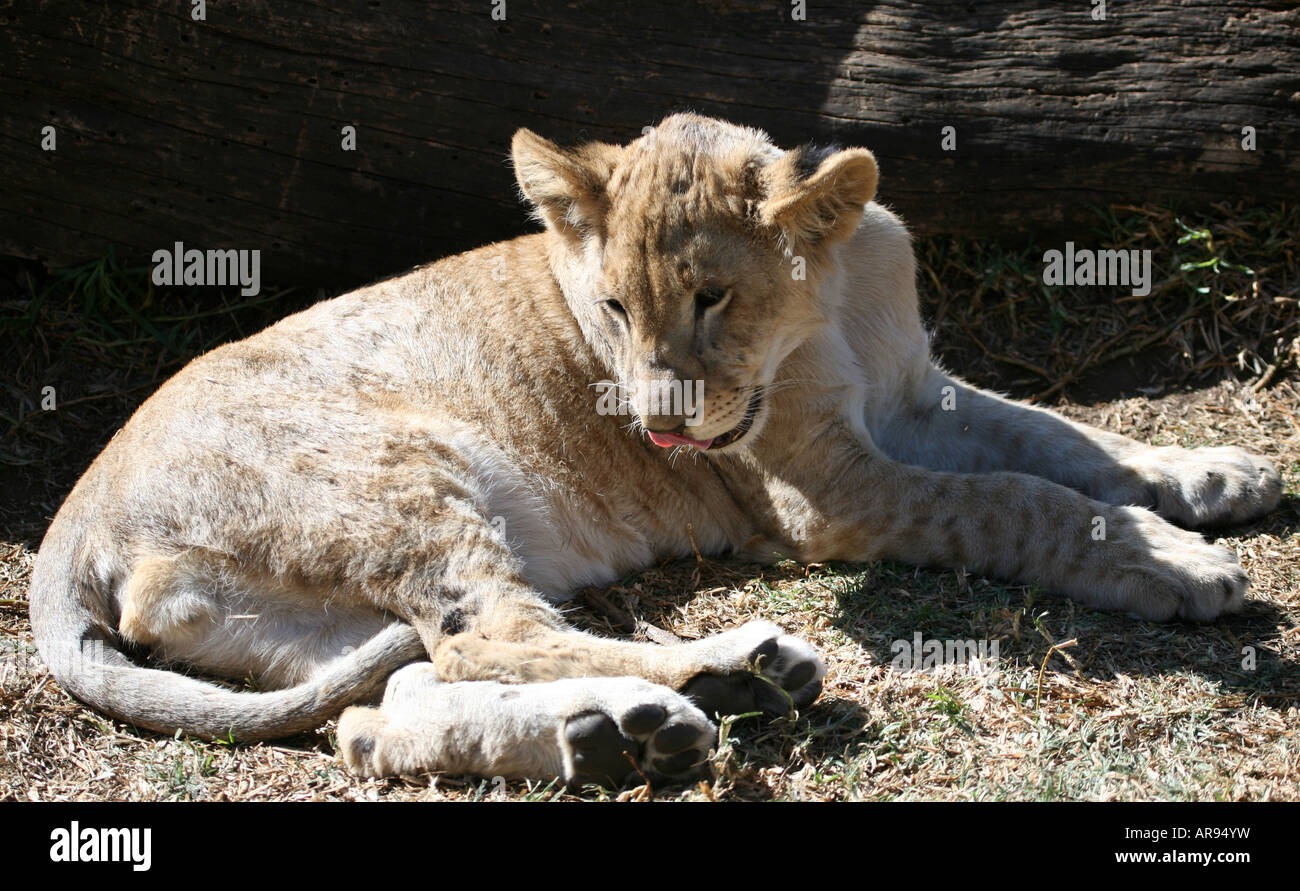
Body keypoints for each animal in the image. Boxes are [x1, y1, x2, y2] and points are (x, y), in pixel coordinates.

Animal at [28, 114, 1282, 787]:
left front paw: (1217, 473)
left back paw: (622, 736)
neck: (832, 301)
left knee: (386, 709)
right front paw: (1178, 566)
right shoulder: (822, 494)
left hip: (312, 619)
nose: (666, 427)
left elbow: (1059, 435)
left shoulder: (917, 397)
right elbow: (1019, 497)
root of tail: (73, 518)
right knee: (490, 637)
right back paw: (727, 675)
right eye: (614, 309)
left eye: (712, 298)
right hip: (399, 474)